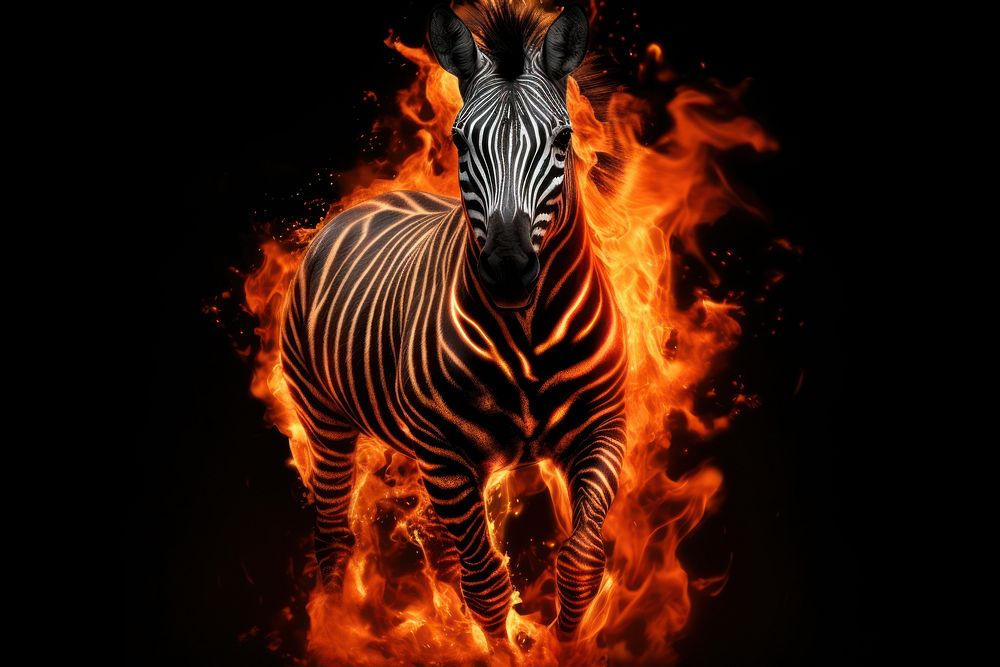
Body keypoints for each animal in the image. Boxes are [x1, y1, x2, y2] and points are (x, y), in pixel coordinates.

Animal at [280, 3, 626, 641]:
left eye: (564, 139)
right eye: (461, 139)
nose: (508, 271)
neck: (526, 335)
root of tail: (369, 201)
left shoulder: (604, 429)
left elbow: (580, 560)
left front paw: (566, 641)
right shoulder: (446, 459)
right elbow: (486, 586)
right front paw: (504, 647)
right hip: (326, 418)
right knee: (335, 533)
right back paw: (336, 629)